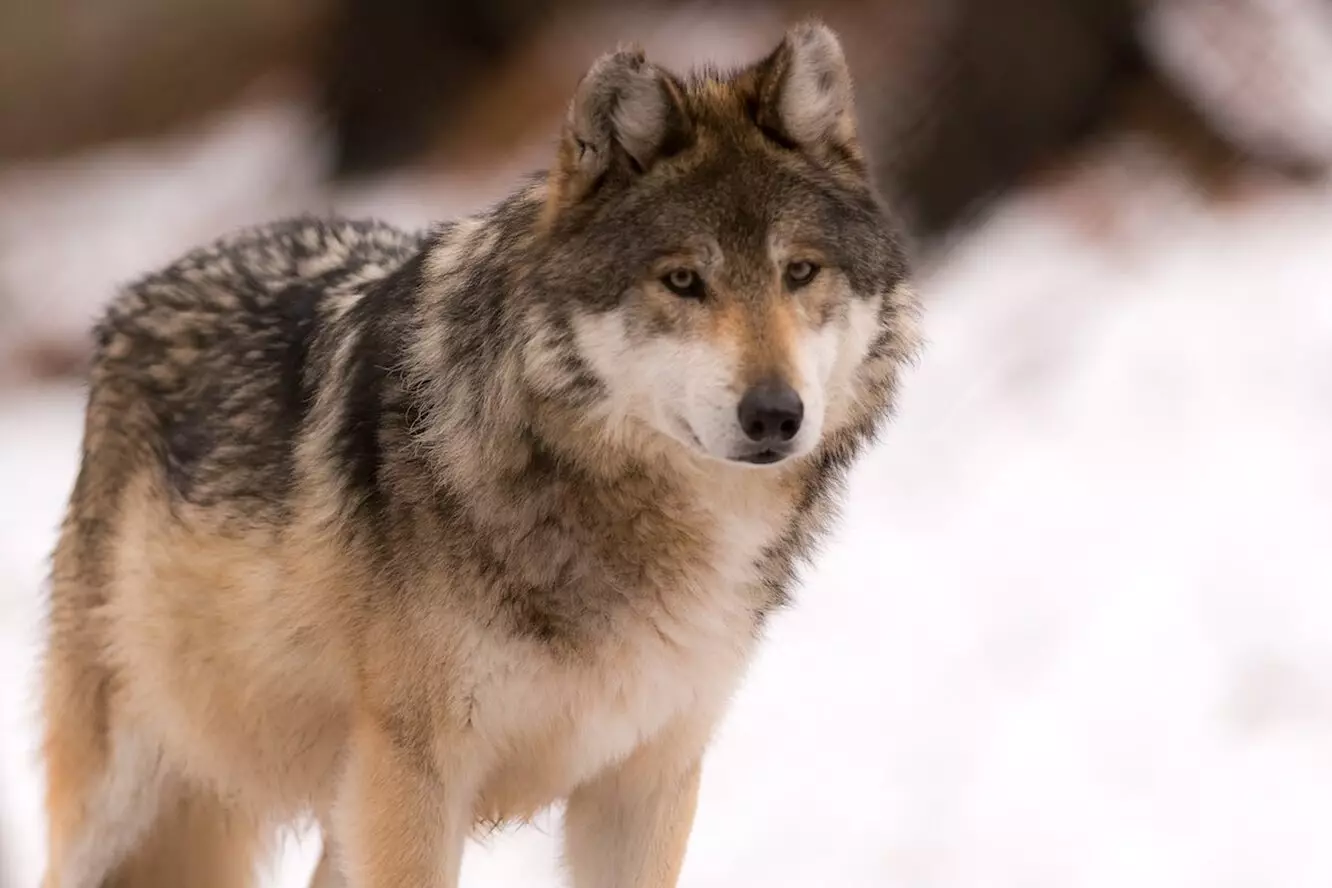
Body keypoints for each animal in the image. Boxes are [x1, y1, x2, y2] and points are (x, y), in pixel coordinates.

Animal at [38, 20, 916, 888]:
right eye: (682, 281)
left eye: (800, 271)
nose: (775, 415)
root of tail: (144, 290)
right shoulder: (416, 782)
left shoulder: (646, 782)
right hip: (125, 804)